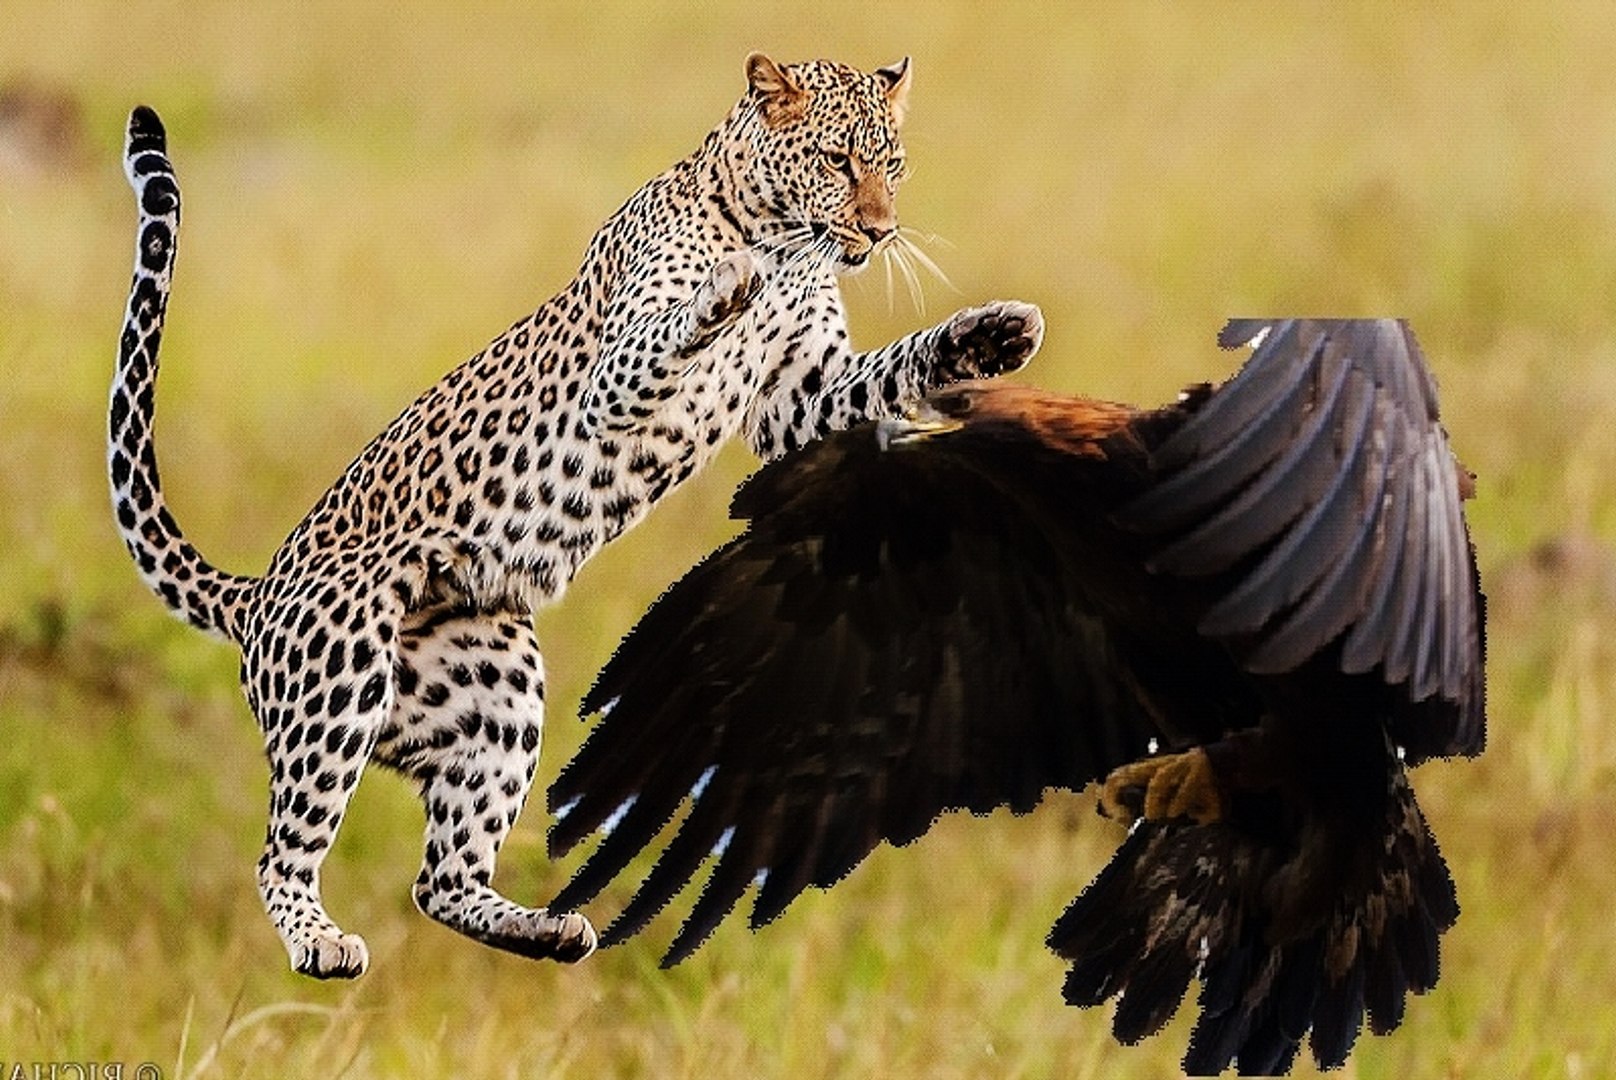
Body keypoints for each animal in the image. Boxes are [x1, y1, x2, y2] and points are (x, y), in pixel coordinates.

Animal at [108, 53, 1044, 979]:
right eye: (839, 162)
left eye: (894, 165)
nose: (882, 232)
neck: (777, 233)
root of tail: (256, 591)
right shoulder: (621, 374)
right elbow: (675, 327)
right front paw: (728, 285)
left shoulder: (801, 394)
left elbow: (890, 369)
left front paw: (991, 335)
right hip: (338, 675)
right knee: (283, 852)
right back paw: (320, 939)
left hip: (498, 691)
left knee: (440, 880)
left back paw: (546, 931)